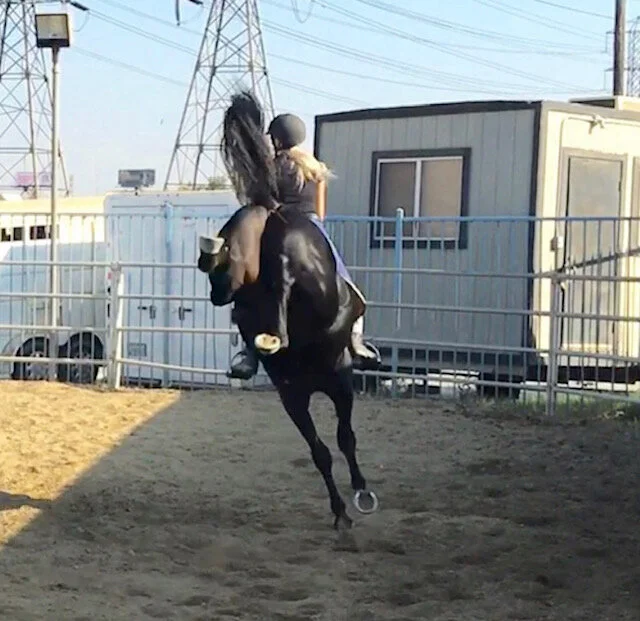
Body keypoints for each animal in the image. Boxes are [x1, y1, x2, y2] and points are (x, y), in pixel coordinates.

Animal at [196, 90, 379, 530]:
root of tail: (276, 212)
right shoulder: (328, 384)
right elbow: (340, 442)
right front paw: (355, 498)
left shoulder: (297, 394)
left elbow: (326, 448)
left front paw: (345, 506)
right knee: (282, 274)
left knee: (234, 284)